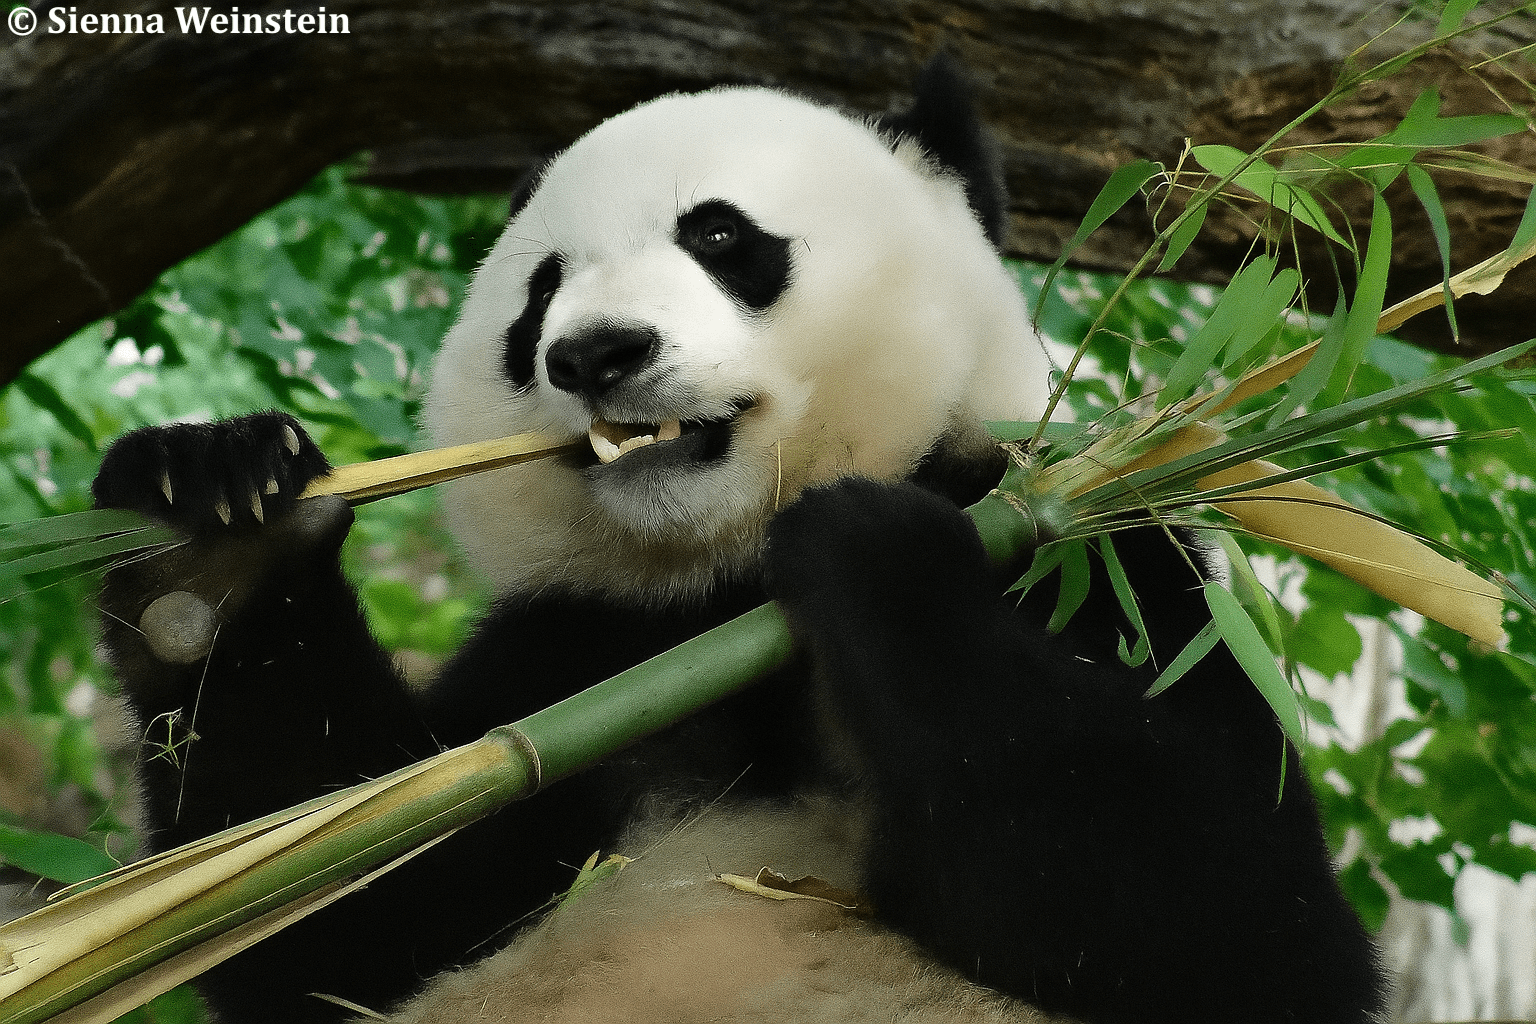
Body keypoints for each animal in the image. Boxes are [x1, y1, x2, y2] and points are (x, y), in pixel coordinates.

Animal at [91, 58, 1388, 1024]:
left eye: (718, 236)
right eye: (540, 293)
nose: (596, 352)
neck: (721, 576)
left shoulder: (1094, 562)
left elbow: (1226, 913)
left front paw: (870, 549)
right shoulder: (580, 662)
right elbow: (340, 914)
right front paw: (215, 537)